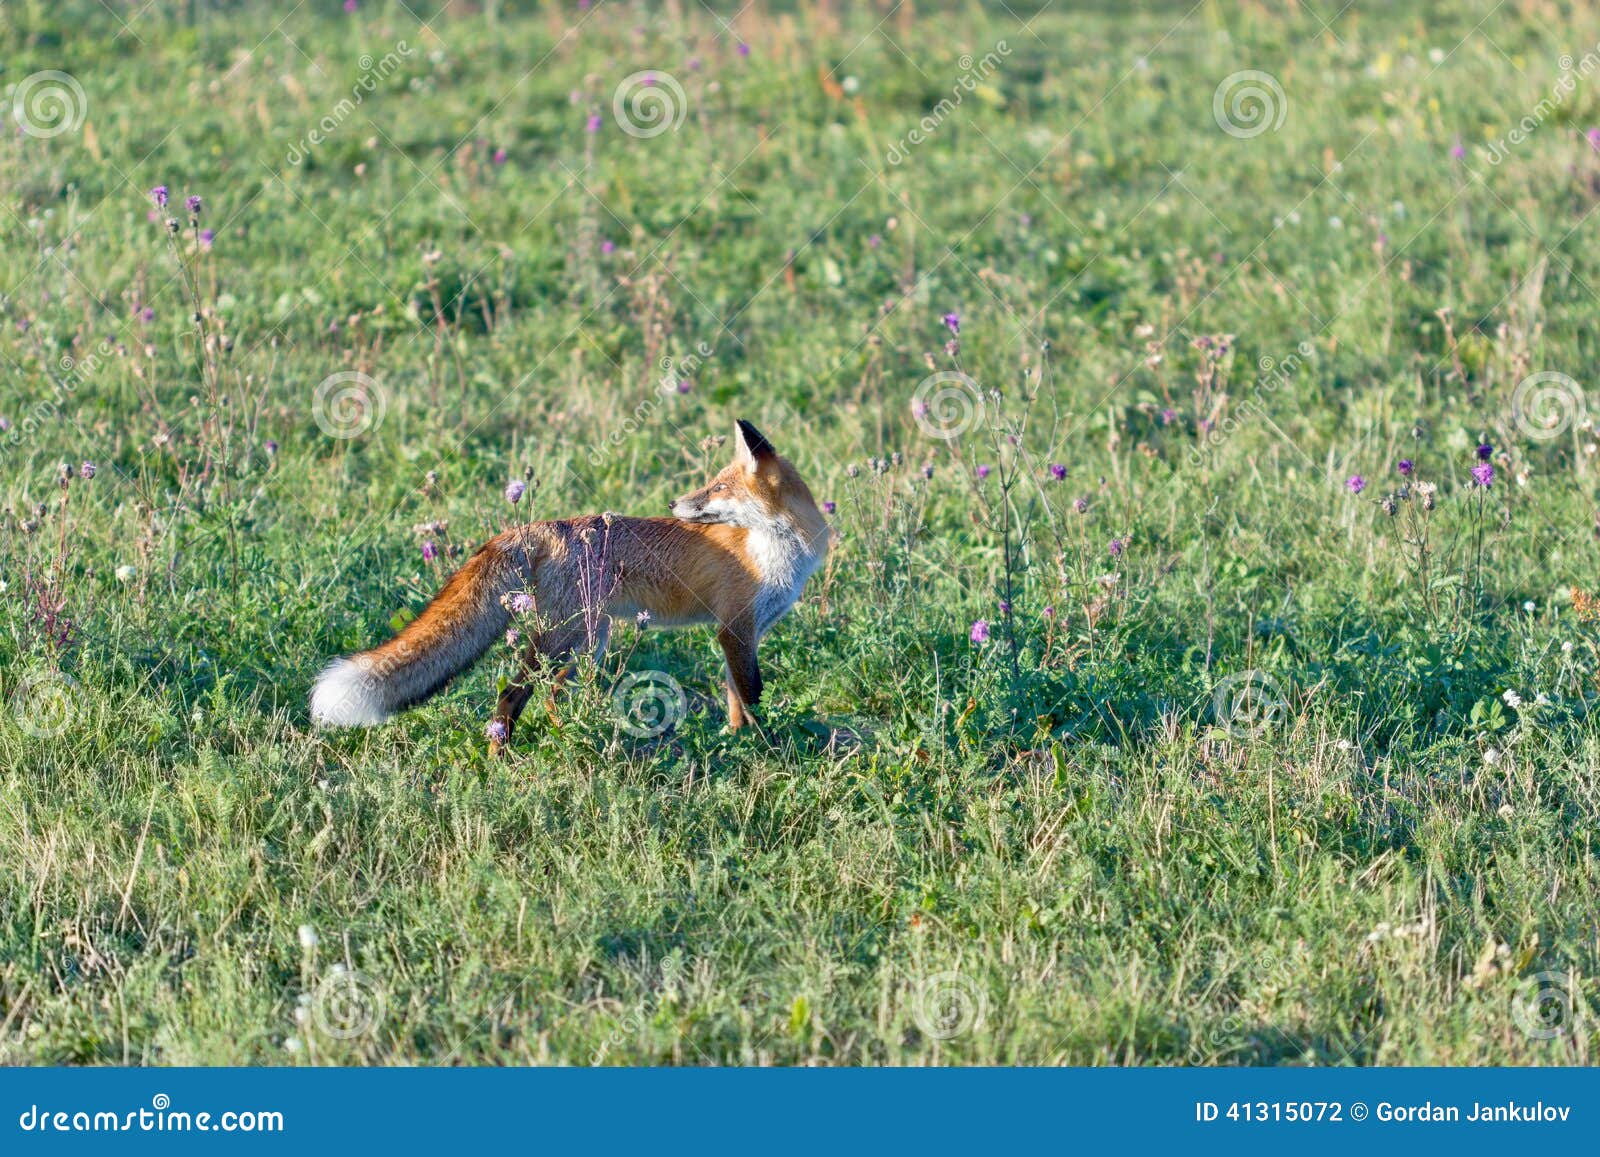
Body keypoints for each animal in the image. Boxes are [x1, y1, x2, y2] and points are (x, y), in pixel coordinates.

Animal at [308, 420, 829, 753]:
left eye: (718, 489)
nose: (672, 502)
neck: (781, 550)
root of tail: (539, 527)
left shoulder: (741, 632)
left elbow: (736, 699)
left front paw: (739, 743)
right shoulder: (734, 628)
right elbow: (754, 697)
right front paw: (769, 750)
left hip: (587, 641)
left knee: (546, 696)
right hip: (570, 638)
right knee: (514, 695)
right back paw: (524, 754)